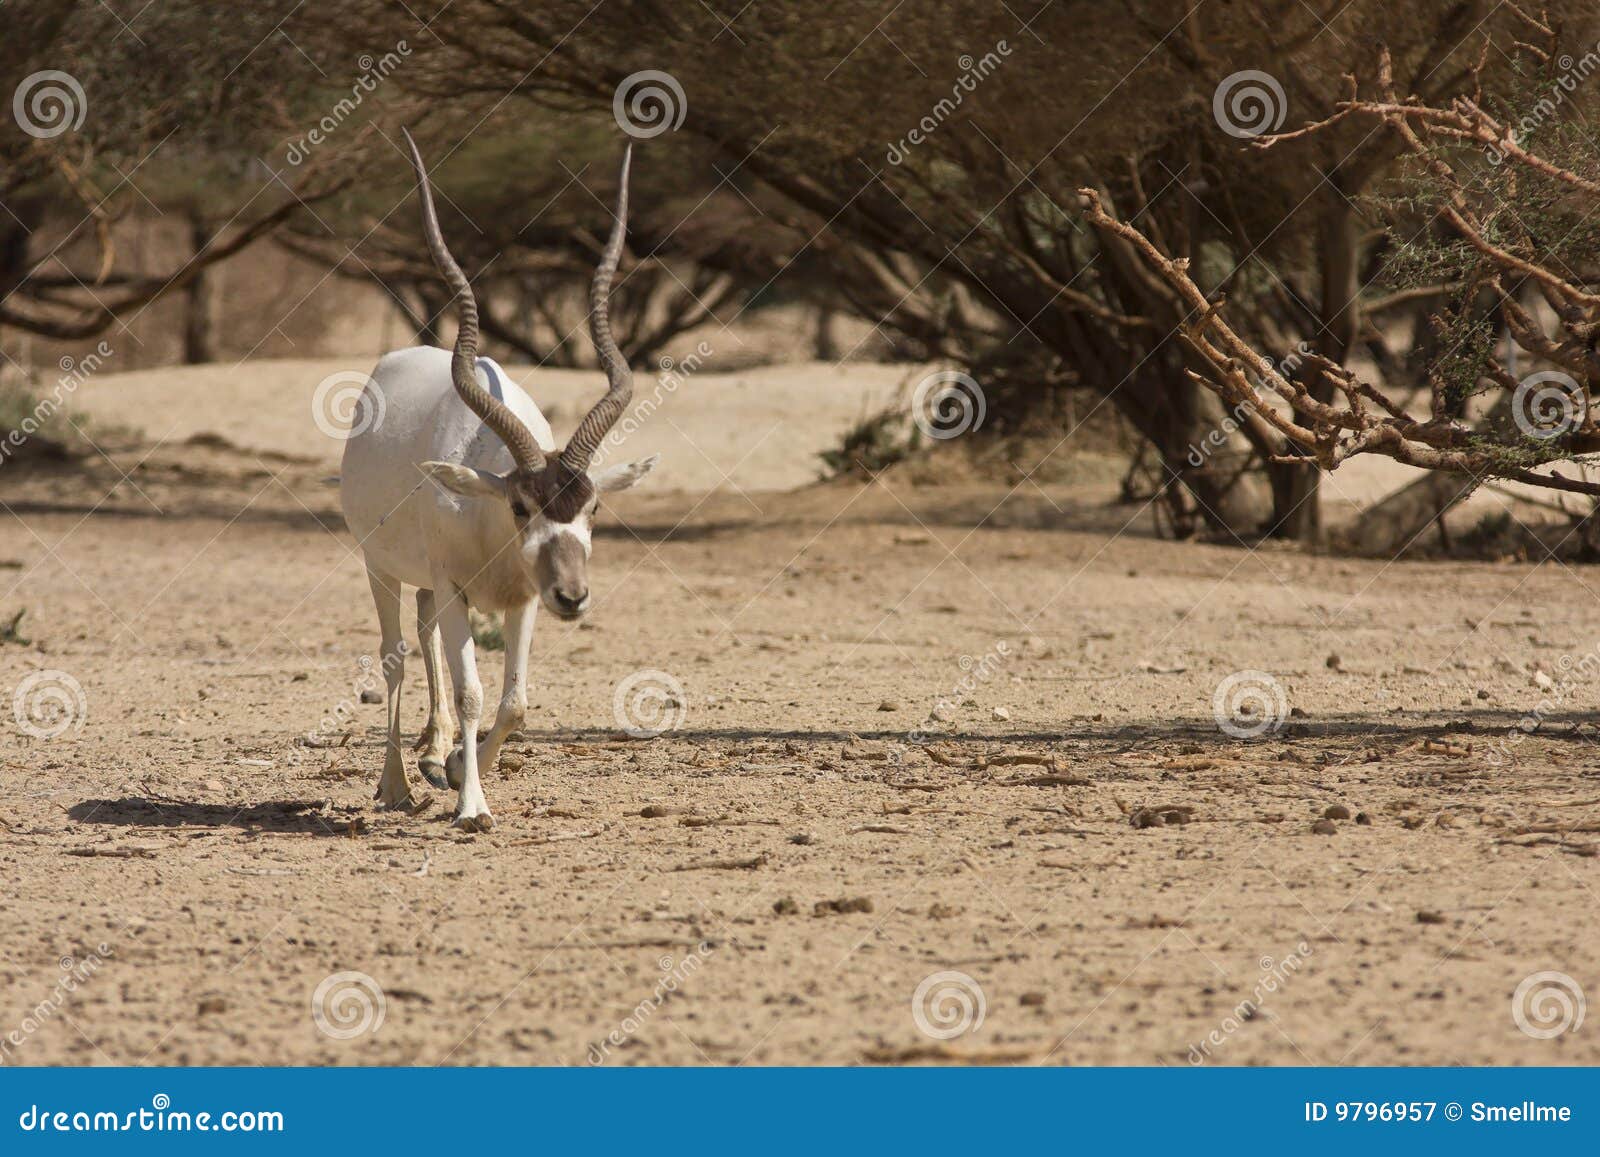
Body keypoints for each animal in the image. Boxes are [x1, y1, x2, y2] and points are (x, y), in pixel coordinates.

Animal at [339, 130, 657, 830]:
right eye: (519, 506)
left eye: (592, 508)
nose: (574, 595)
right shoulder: (457, 588)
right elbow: (473, 690)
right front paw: (471, 807)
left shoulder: (523, 601)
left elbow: (515, 700)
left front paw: (460, 767)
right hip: (381, 567)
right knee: (397, 653)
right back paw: (397, 782)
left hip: (430, 581)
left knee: (424, 633)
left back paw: (435, 754)